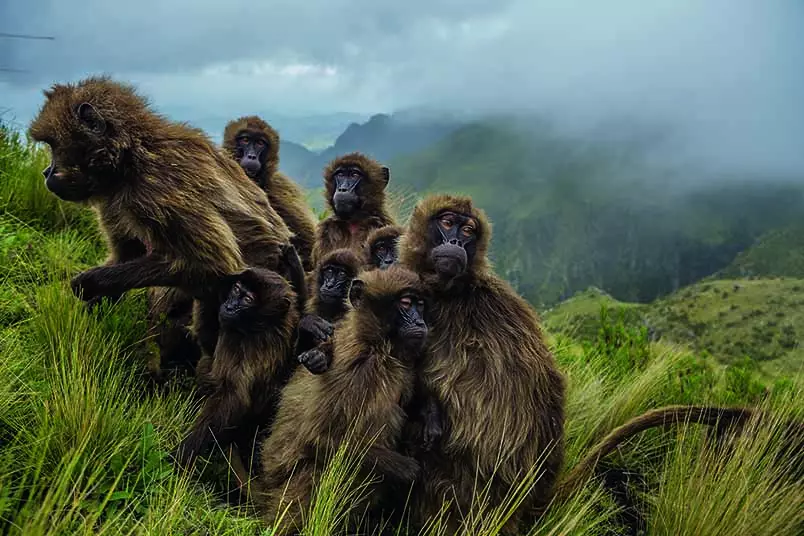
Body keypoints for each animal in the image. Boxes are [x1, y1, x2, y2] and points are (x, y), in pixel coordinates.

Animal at [177, 266, 300, 472]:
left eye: (248, 300)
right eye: (236, 289)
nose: (229, 306)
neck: (266, 325)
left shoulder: (234, 338)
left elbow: (233, 398)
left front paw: (184, 451)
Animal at [258, 266, 434, 532]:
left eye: (420, 305)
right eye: (405, 304)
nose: (419, 322)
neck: (374, 341)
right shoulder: (360, 371)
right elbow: (320, 439)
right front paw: (411, 471)